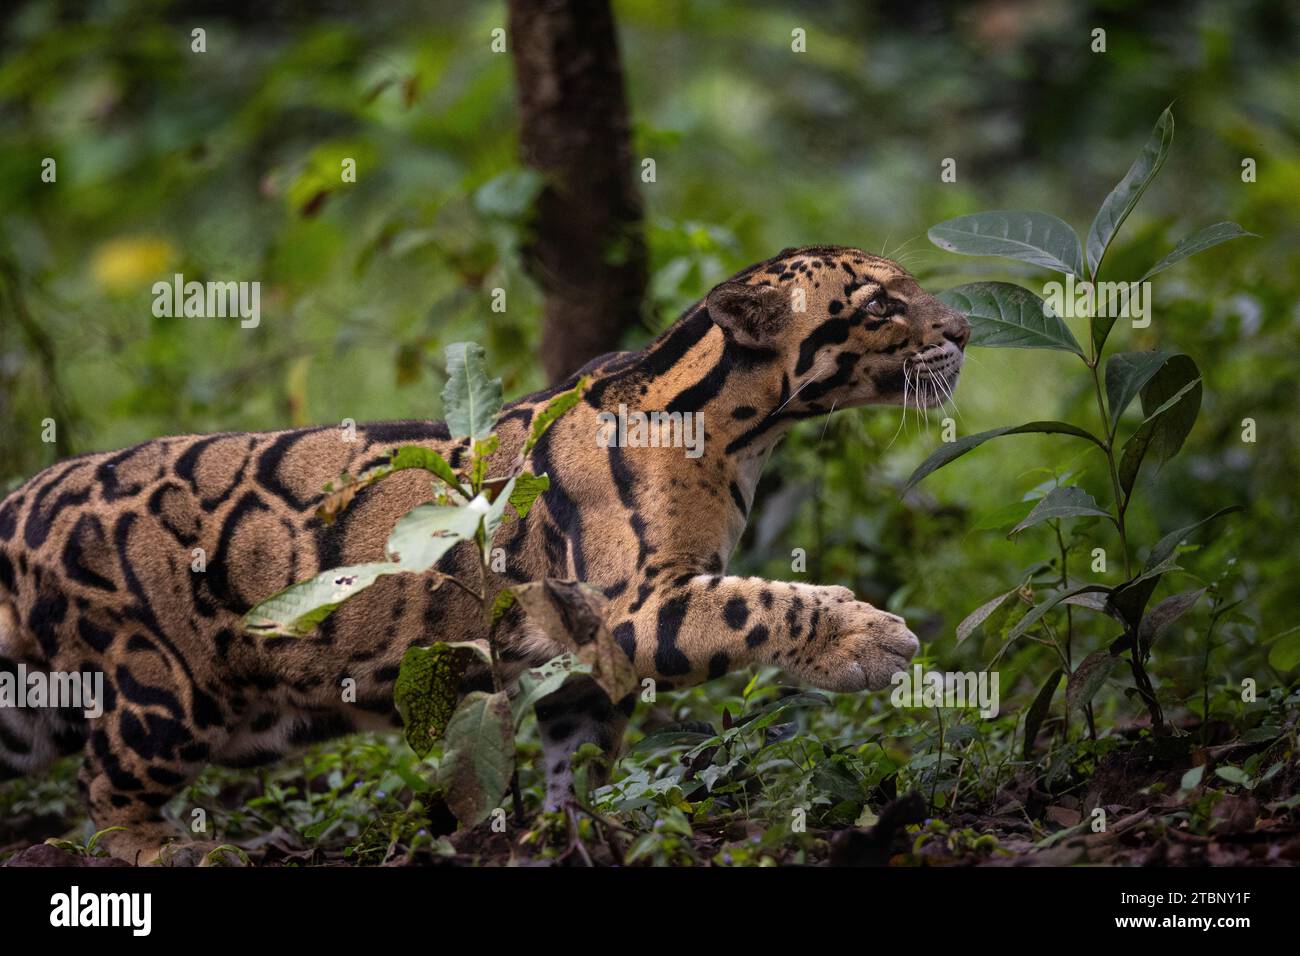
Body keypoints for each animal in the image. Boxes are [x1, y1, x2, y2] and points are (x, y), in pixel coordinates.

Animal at [0, 245, 969, 863]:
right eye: (879, 304)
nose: (962, 327)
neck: (741, 433)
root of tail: (16, 506)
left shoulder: (579, 656)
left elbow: (579, 756)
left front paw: (571, 833)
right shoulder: (638, 606)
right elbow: (762, 602)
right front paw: (869, 640)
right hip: (160, 687)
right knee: (104, 789)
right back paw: (173, 848)